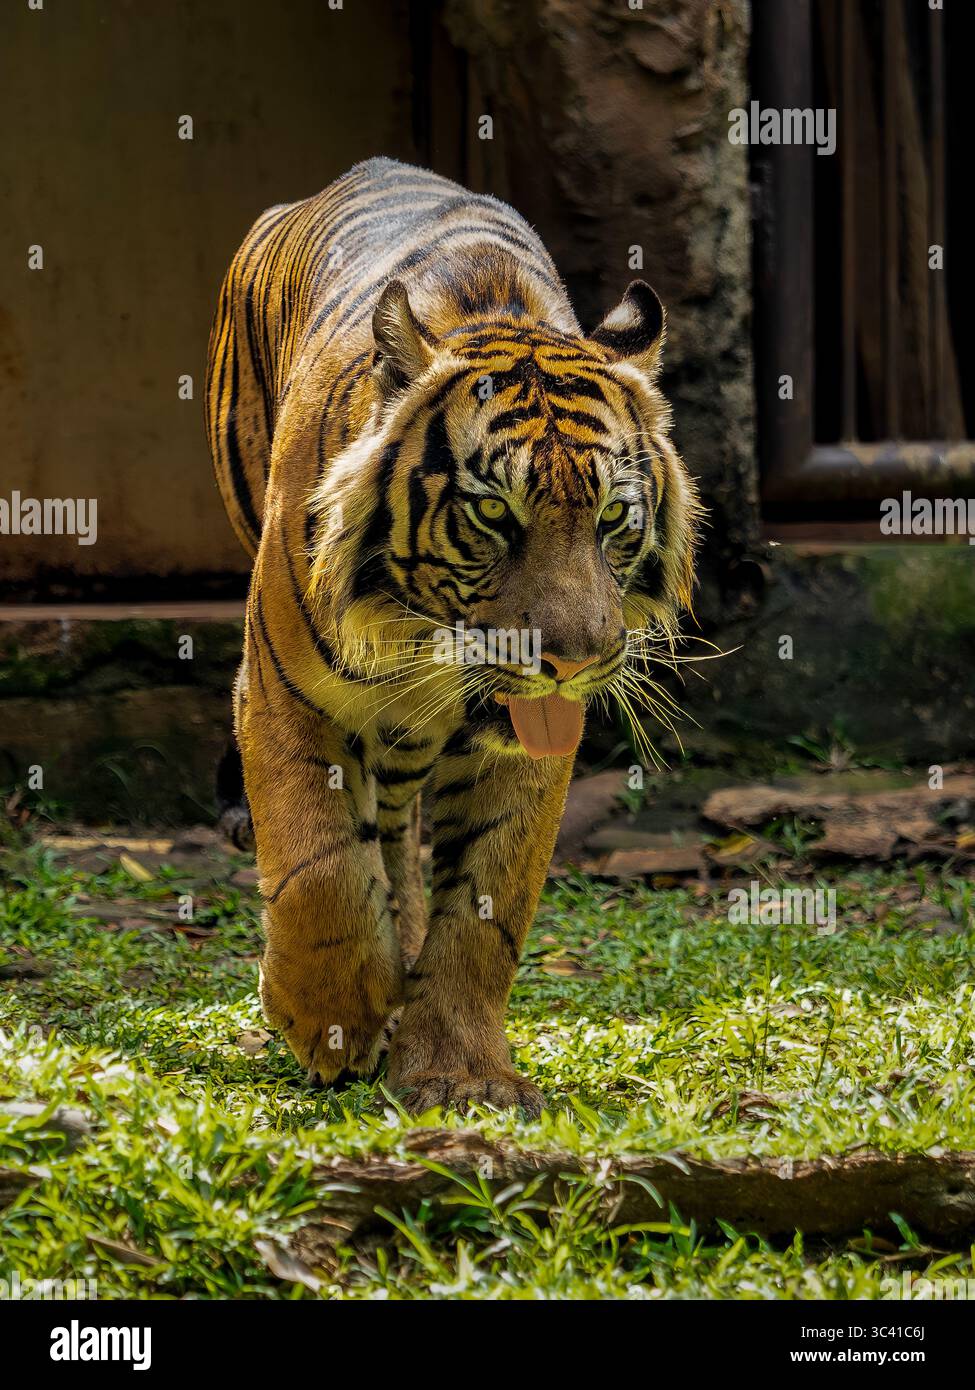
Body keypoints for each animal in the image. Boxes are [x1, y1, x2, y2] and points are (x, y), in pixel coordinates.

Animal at [205, 157, 700, 1116]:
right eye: (493, 514)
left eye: (611, 519)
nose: (570, 662)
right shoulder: (281, 691)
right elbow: (316, 859)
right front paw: (331, 1017)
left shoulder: (526, 750)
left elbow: (485, 904)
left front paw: (460, 1072)